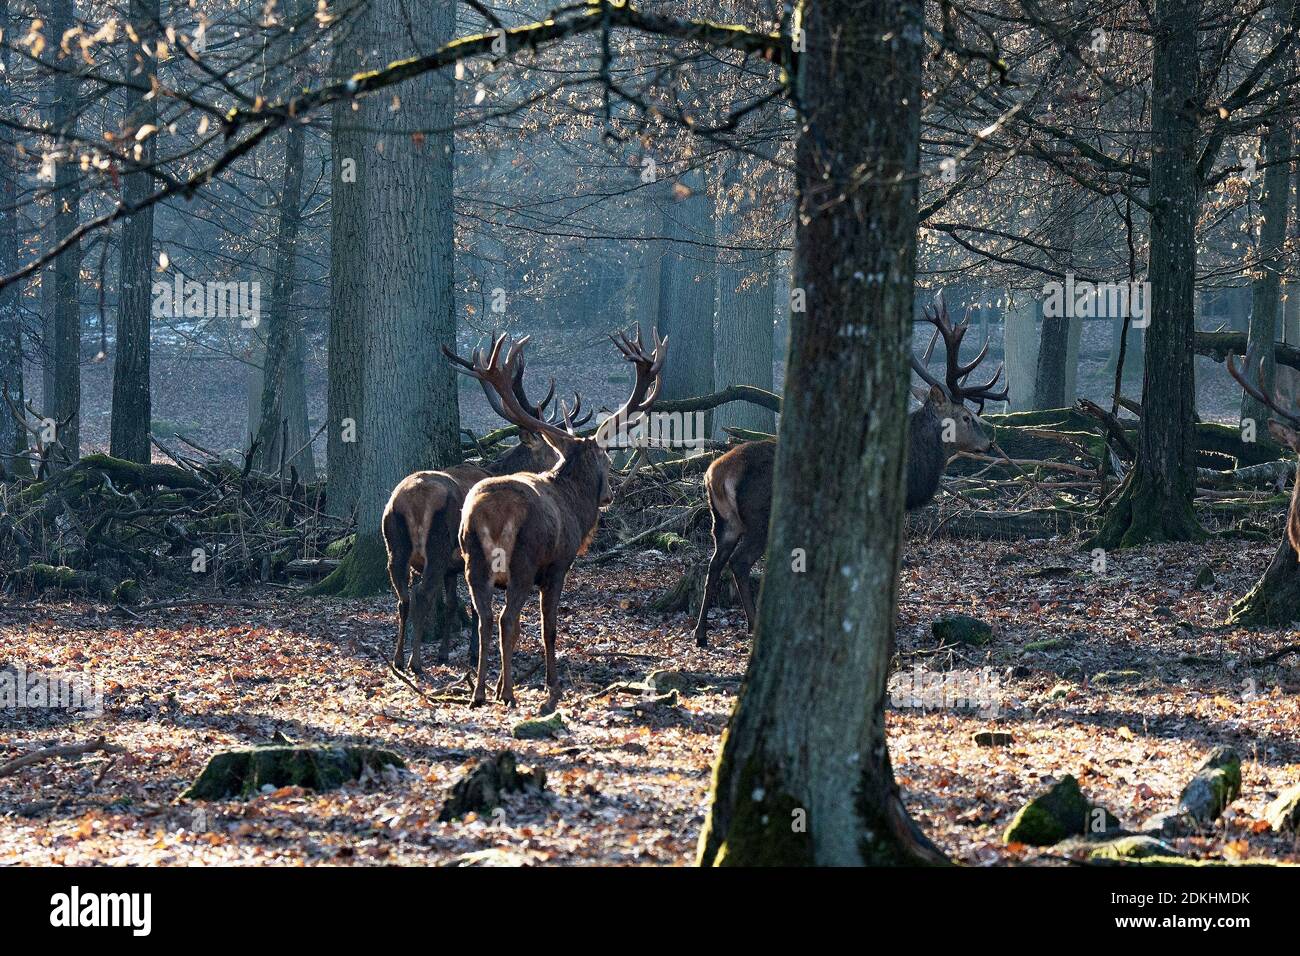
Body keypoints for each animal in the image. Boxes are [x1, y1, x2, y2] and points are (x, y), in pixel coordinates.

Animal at [383, 352, 591, 673]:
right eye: (551, 449)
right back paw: (415, 662)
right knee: (422, 594)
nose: (558, 470)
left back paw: (397, 658)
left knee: (402, 597)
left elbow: (453, 604)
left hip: (393, 541)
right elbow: (472, 606)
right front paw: (471, 654)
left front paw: (444, 652)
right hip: (437, 545)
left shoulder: (454, 567)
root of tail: (411, 500)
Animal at [449, 326, 666, 715]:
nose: (608, 496)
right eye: (605, 461)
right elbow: (548, 627)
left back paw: (479, 693)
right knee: (506, 618)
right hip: (522, 560)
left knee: (485, 618)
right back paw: (507, 694)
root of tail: (487, 511)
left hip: (473, 560)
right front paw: (553, 685)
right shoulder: (558, 565)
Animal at [692, 299, 1007, 648]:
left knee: (714, 564)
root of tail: (715, 474)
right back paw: (750, 625)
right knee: (739, 562)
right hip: (758, 517)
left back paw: (702, 634)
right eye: (965, 417)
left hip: (723, 521)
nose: (989, 443)